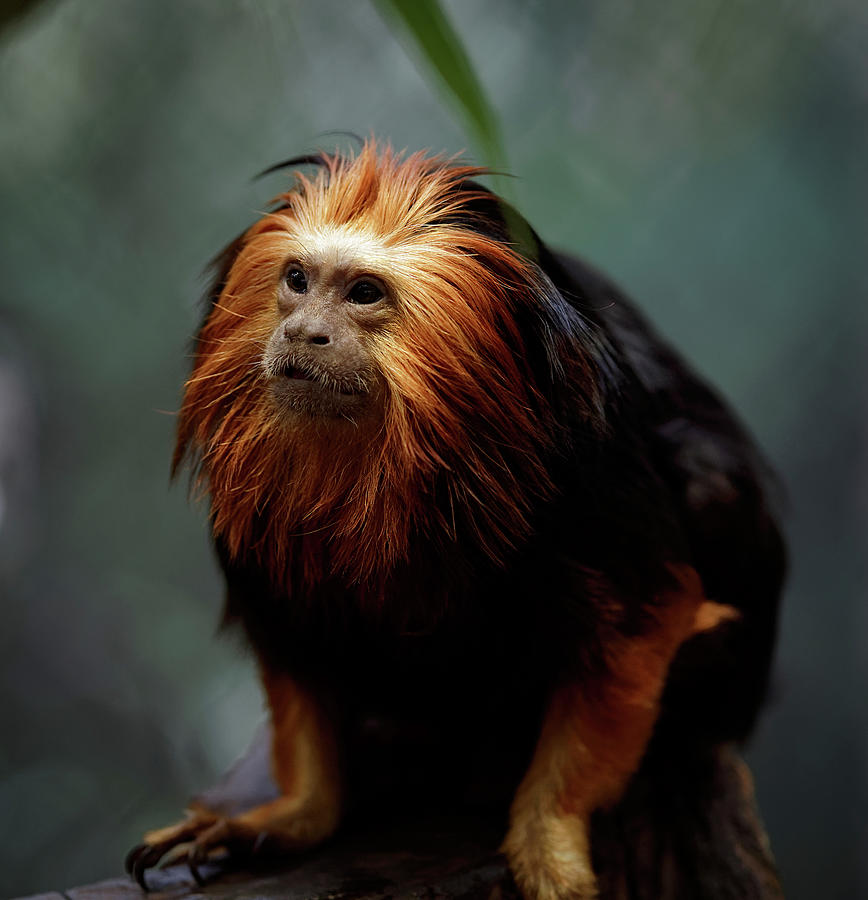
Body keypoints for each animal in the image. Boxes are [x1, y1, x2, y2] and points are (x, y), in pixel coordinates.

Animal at [125, 142, 784, 899]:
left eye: (363, 293)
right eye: (296, 279)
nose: (301, 332)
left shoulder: (593, 480)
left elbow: (642, 627)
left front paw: (549, 842)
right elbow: (296, 655)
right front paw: (291, 815)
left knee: (712, 482)